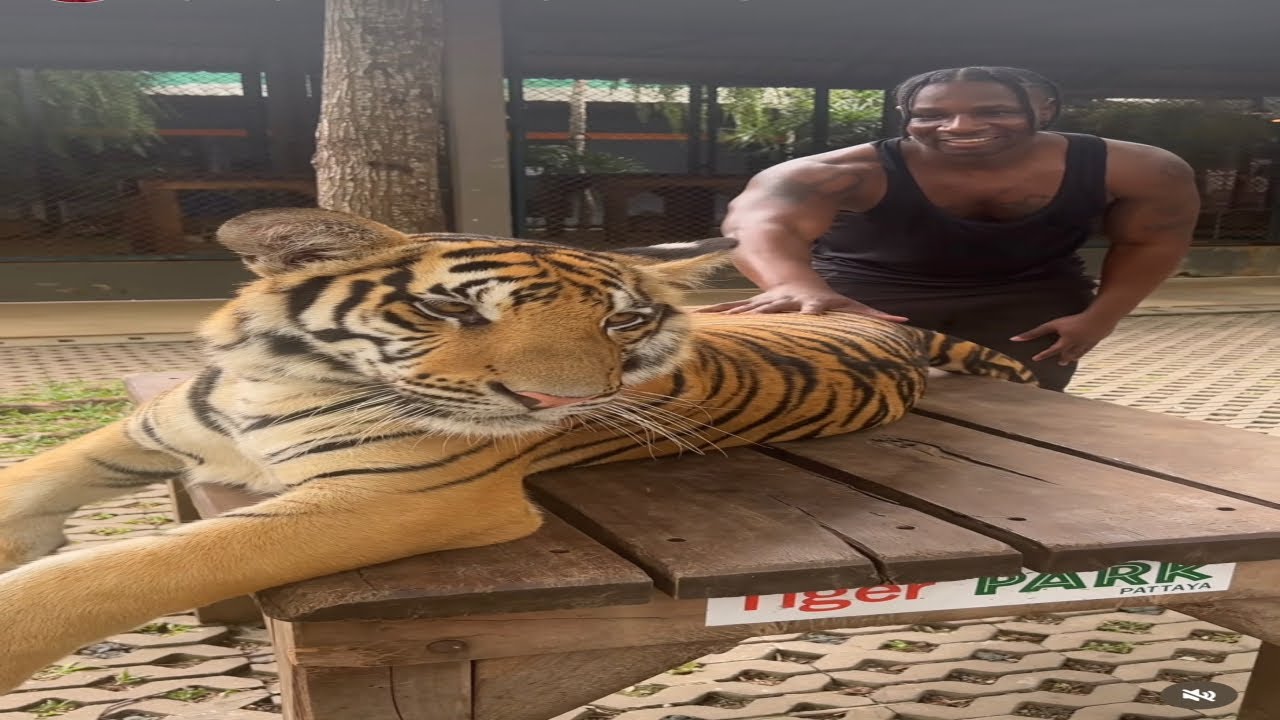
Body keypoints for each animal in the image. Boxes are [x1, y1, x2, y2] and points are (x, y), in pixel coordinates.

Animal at [0, 207, 1036, 692]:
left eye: (624, 322)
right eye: (451, 308)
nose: (559, 402)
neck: (284, 381)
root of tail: (879, 322)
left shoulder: (395, 497)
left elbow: (141, 564)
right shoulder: (154, 429)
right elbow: (33, 480)